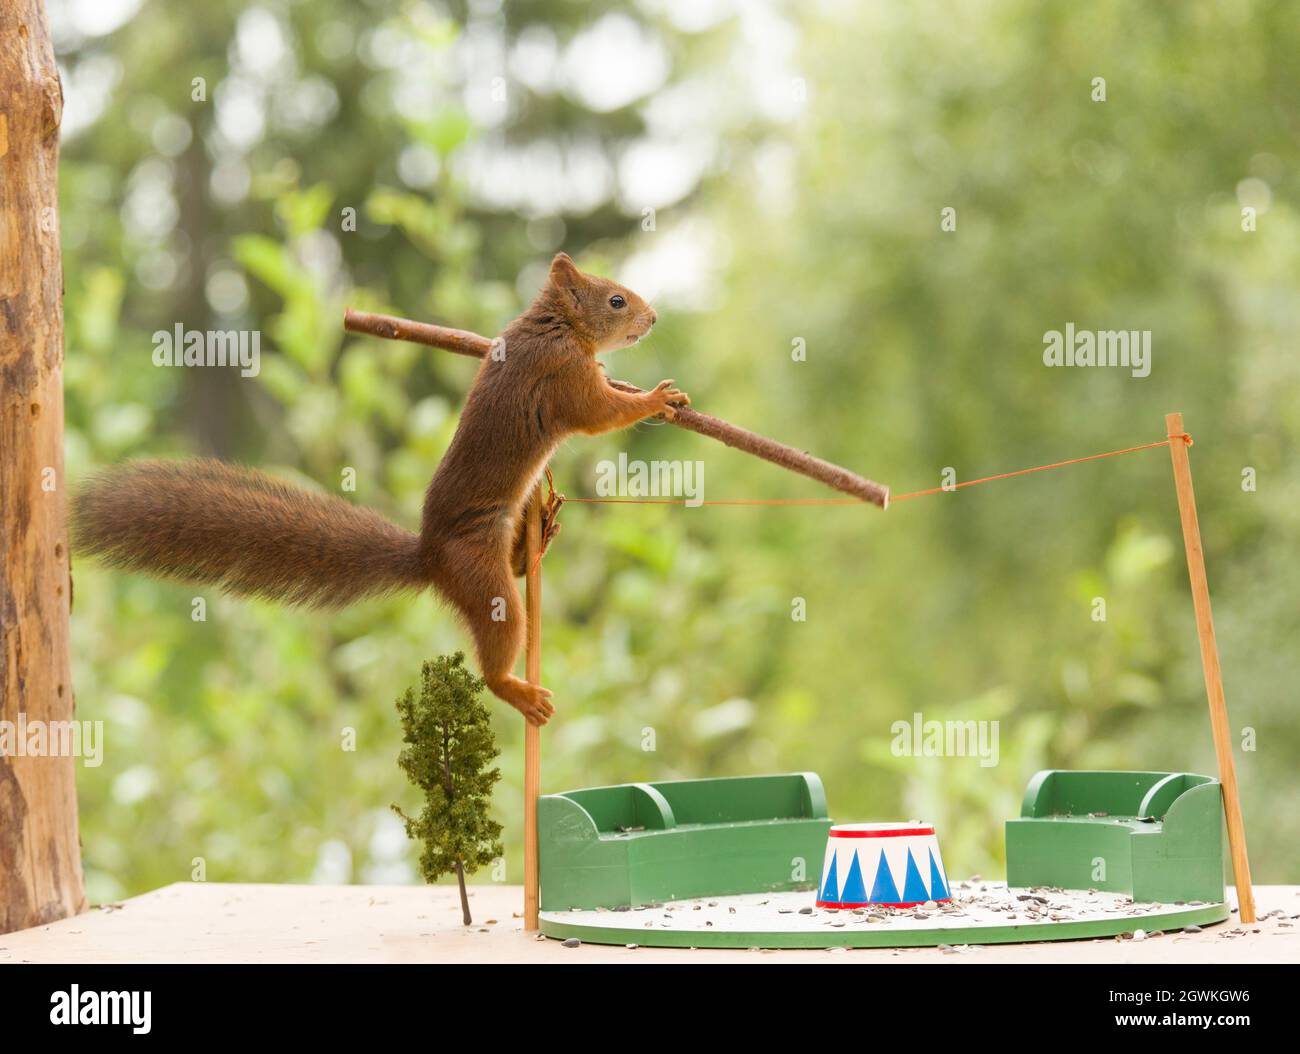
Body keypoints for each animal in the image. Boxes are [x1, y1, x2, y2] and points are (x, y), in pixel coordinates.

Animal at [72, 253, 688, 726]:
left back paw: (542, 530)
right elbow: (601, 413)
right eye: (616, 301)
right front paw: (657, 398)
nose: (655, 317)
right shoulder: (562, 376)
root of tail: (429, 557)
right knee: (496, 640)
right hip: (482, 580)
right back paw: (516, 689)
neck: (556, 324)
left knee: (517, 570)